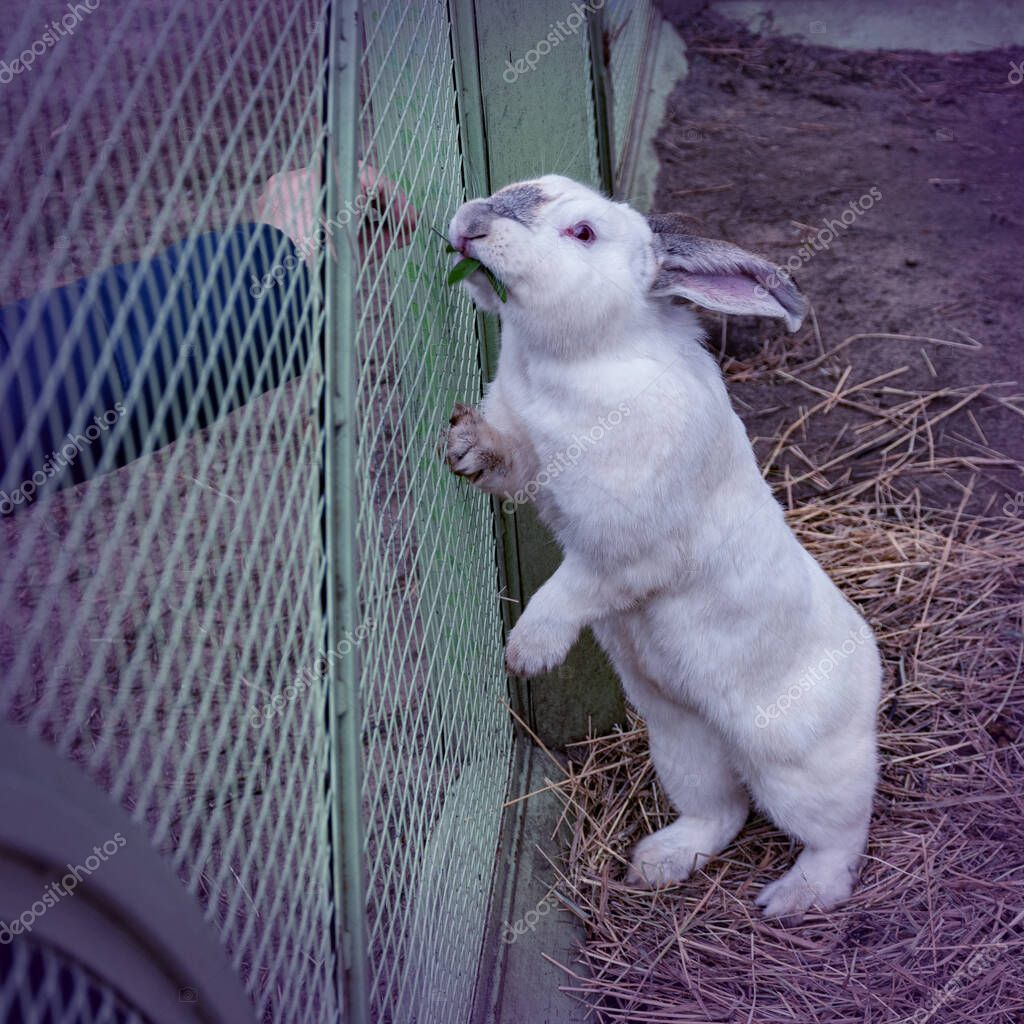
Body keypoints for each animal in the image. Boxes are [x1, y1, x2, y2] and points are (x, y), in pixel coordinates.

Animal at [444, 175, 881, 922]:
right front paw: (463, 446)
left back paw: (788, 899)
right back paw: (657, 863)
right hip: (682, 743)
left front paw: (527, 653)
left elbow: (571, 590)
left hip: (797, 769)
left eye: (583, 233)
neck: (578, 360)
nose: (471, 223)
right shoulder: (529, 457)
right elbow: (506, 455)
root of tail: (872, 675)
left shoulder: (623, 554)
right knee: (721, 812)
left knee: (840, 838)